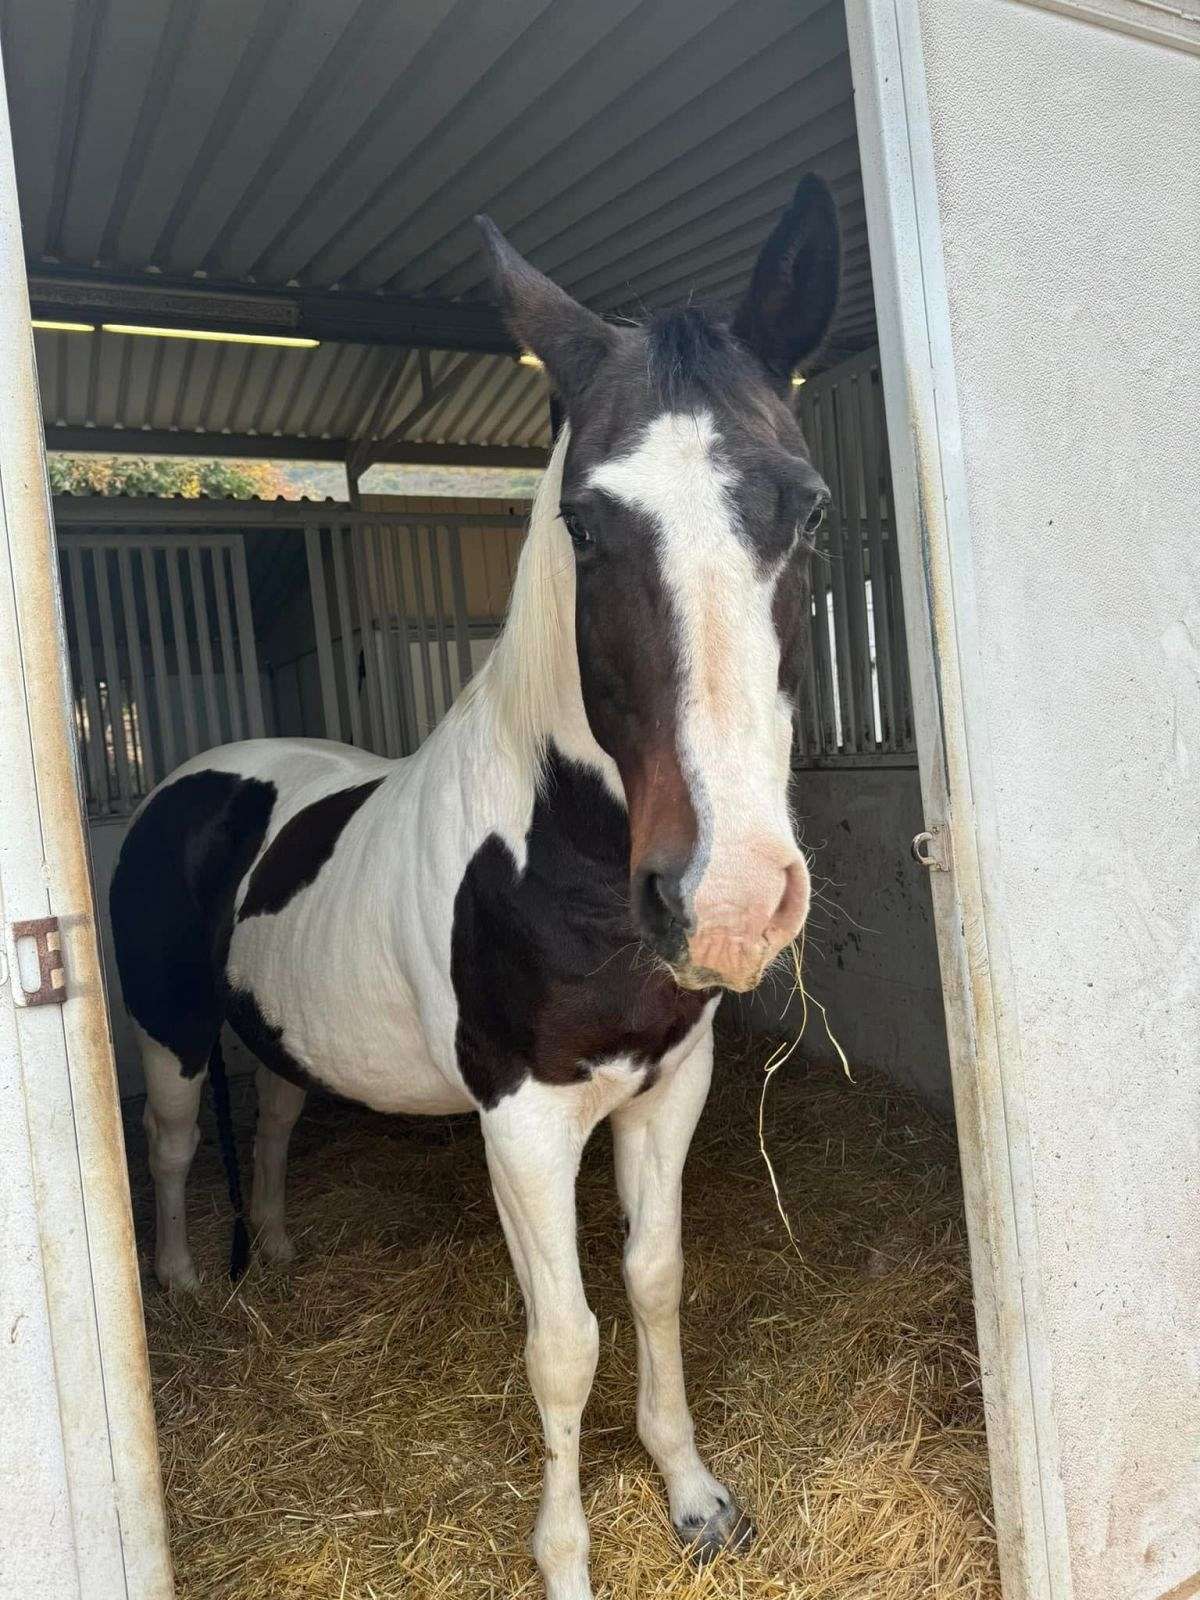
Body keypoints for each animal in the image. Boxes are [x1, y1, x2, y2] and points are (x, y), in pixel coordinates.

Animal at [110, 174, 839, 1600]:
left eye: (809, 505)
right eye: (586, 524)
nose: (727, 899)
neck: (559, 856)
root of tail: (203, 781)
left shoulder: (671, 1087)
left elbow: (656, 1280)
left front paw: (693, 1497)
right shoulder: (524, 1120)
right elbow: (565, 1342)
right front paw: (567, 1561)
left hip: (285, 1035)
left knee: (273, 1123)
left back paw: (275, 1251)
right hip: (170, 1038)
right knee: (171, 1145)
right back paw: (182, 1282)